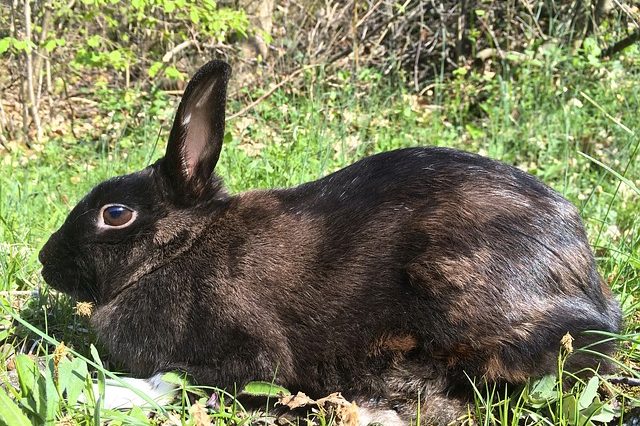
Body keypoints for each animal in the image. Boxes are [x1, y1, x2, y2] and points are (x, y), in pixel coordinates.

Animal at [39, 60, 621, 425]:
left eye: (115, 214)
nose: (46, 262)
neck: (180, 248)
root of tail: (587, 293)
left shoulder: (247, 353)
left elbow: (173, 377)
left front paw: (108, 390)